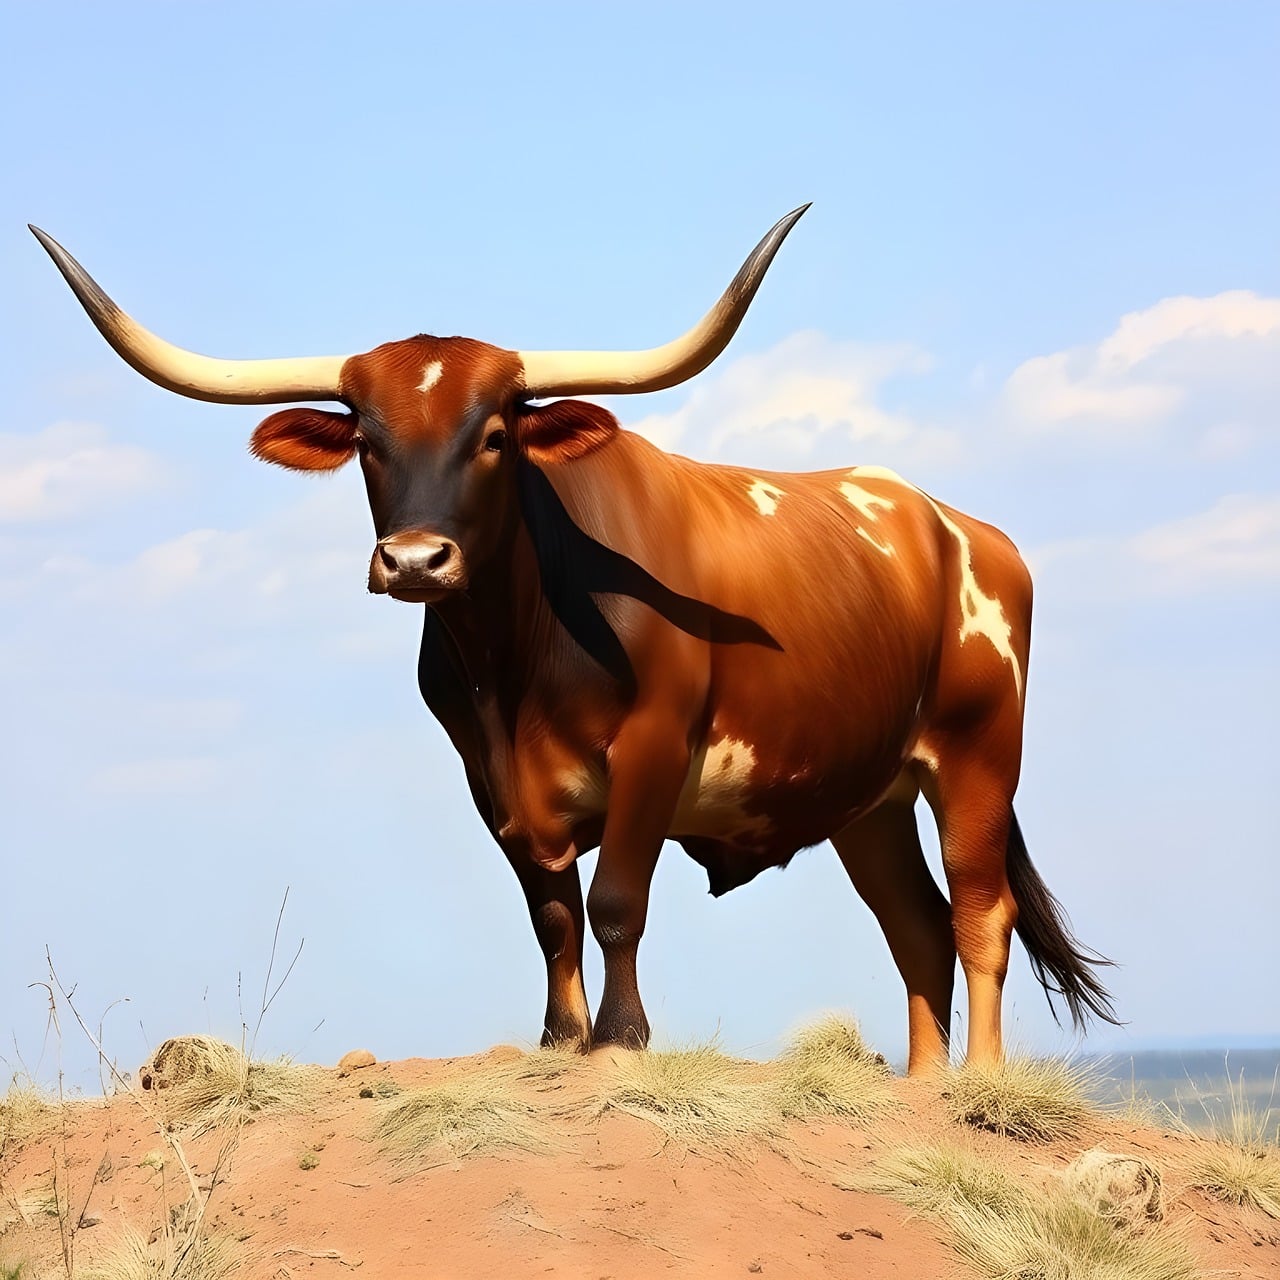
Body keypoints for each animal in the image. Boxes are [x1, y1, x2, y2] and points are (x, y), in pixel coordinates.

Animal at [32, 209, 1116, 1075]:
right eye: (367, 440)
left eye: (493, 435)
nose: (415, 561)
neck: (513, 658)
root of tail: (950, 523)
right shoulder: (489, 776)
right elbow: (550, 911)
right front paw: (559, 1035)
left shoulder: (653, 747)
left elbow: (614, 900)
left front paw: (621, 1035)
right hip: (869, 796)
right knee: (914, 925)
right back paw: (925, 1086)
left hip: (977, 756)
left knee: (978, 913)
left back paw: (978, 1079)